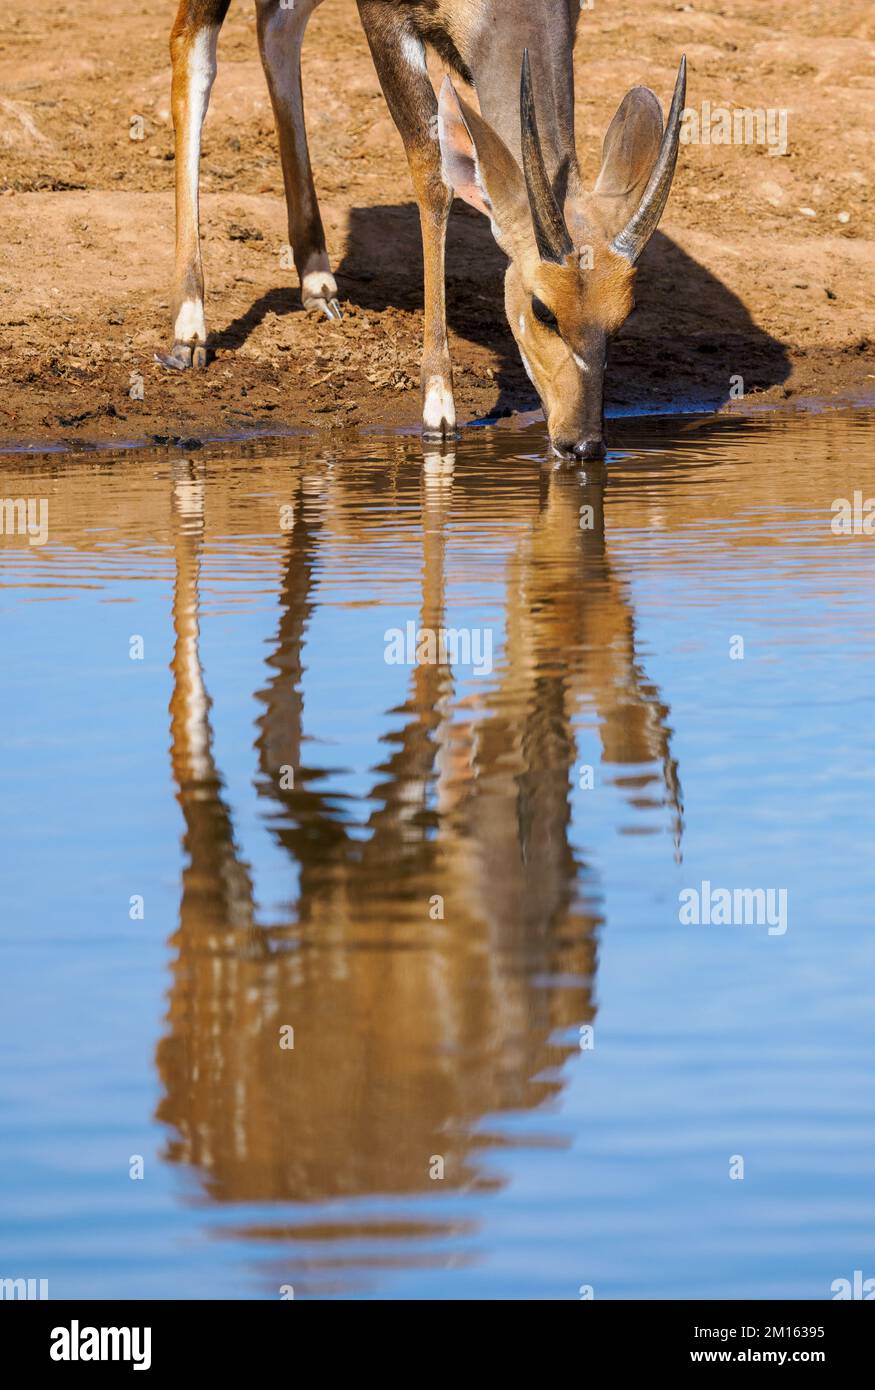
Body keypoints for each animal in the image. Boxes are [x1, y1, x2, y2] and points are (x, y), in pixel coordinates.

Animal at [160, 1, 685, 459]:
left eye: (624, 315)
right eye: (543, 310)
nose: (583, 444)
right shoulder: (385, 22)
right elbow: (434, 172)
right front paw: (439, 408)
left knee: (277, 27)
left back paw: (317, 282)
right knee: (193, 49)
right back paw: (190, 330)